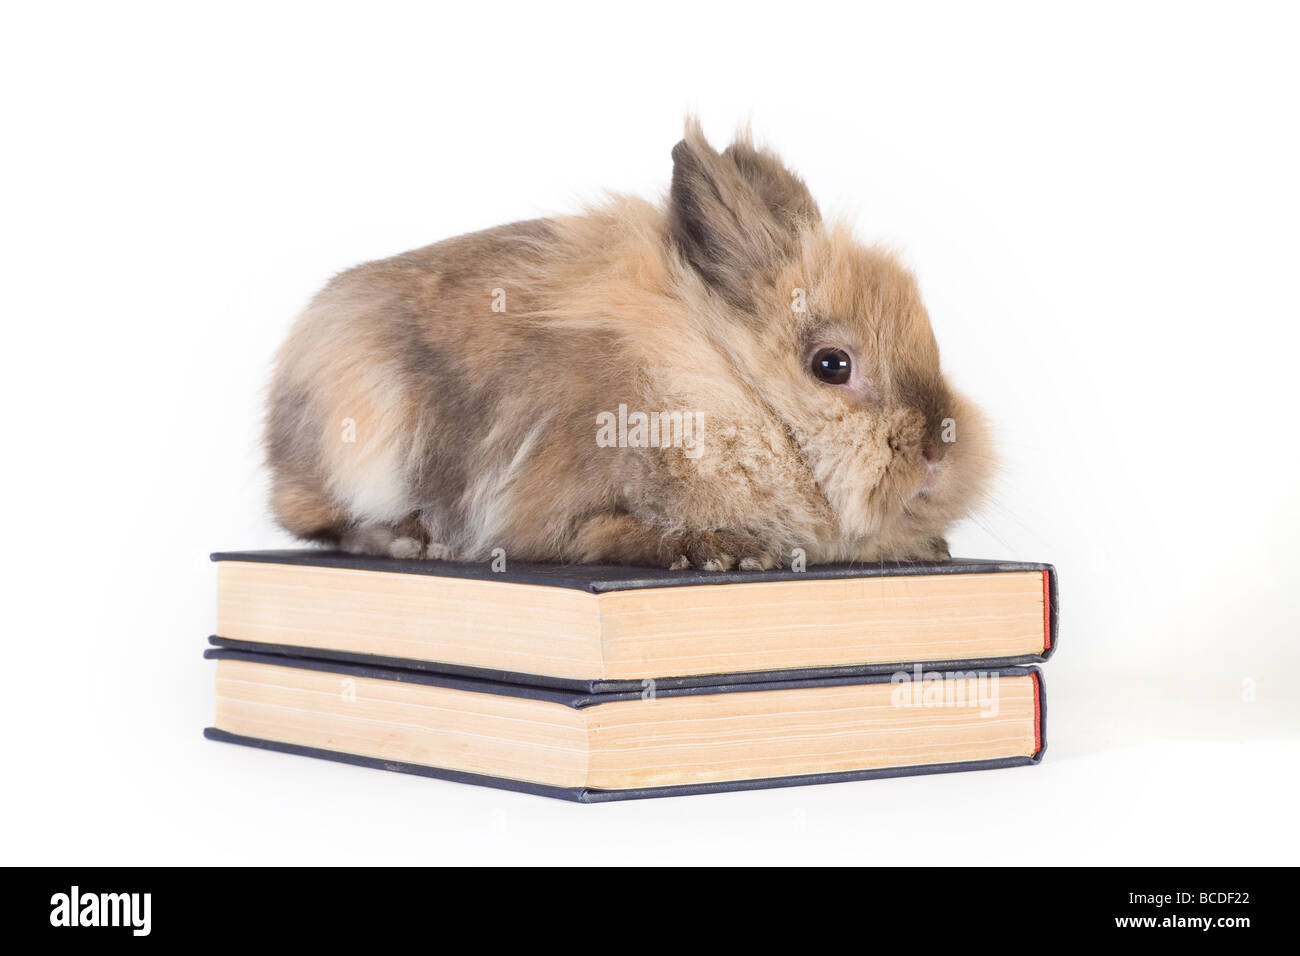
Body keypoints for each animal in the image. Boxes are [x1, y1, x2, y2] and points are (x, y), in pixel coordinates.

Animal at [264, 119, 994, 570]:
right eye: (831, 365)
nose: (939, 449)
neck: (730, 387)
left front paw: (930, 548)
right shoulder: (550, 503)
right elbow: (600, 532)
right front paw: (717, 549)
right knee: (319, 521)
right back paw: (408, 541)